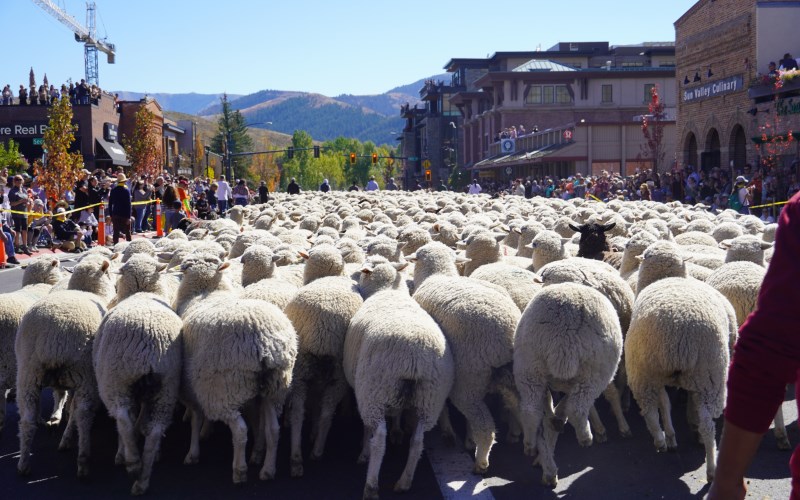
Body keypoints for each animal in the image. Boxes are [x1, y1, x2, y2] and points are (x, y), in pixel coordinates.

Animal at [15, 289, 108, 477]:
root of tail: (54, 337)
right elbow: (72, 407)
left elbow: (63, 398)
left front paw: (58, 420)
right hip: (86, 375)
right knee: (83, 414)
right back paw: (83, 460)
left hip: (28, 372)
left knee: (27, 420)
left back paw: (23, 464)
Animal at [93, 293, 183, 495]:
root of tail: (150, 352)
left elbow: (126, 423)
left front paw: (121, 453)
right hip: (166, 390)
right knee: (155, 431)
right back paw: (142, 480)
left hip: (116, 381)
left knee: (123, 418)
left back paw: (133, 463)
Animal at [284, 275, 364, 477]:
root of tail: (319, 333)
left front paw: (312, 430)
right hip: (337, 374)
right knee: (327, 413)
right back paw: (317, 451)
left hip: (300, 369)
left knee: (298, 413)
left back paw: (296, 458)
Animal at [343, 259, 453, 498]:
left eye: (362, 270)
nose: (352, 280)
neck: (386, 290)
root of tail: (413, 356)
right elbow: (398, 413)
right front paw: (397, 430)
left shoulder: (364, 389)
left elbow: (371, 428)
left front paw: (365, 450)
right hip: (429, 398)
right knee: (418, 441)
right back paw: (404, 481)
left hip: (374, 391)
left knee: (379, 439)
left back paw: (371, 482)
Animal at [514, 283, 623, 487]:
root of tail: (564, 333)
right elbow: (565, 409)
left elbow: (554, 415)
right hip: (593, 372)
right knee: (577, 408)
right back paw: (585, 437)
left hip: (529, 365)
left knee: (530, 410)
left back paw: (530, 445)